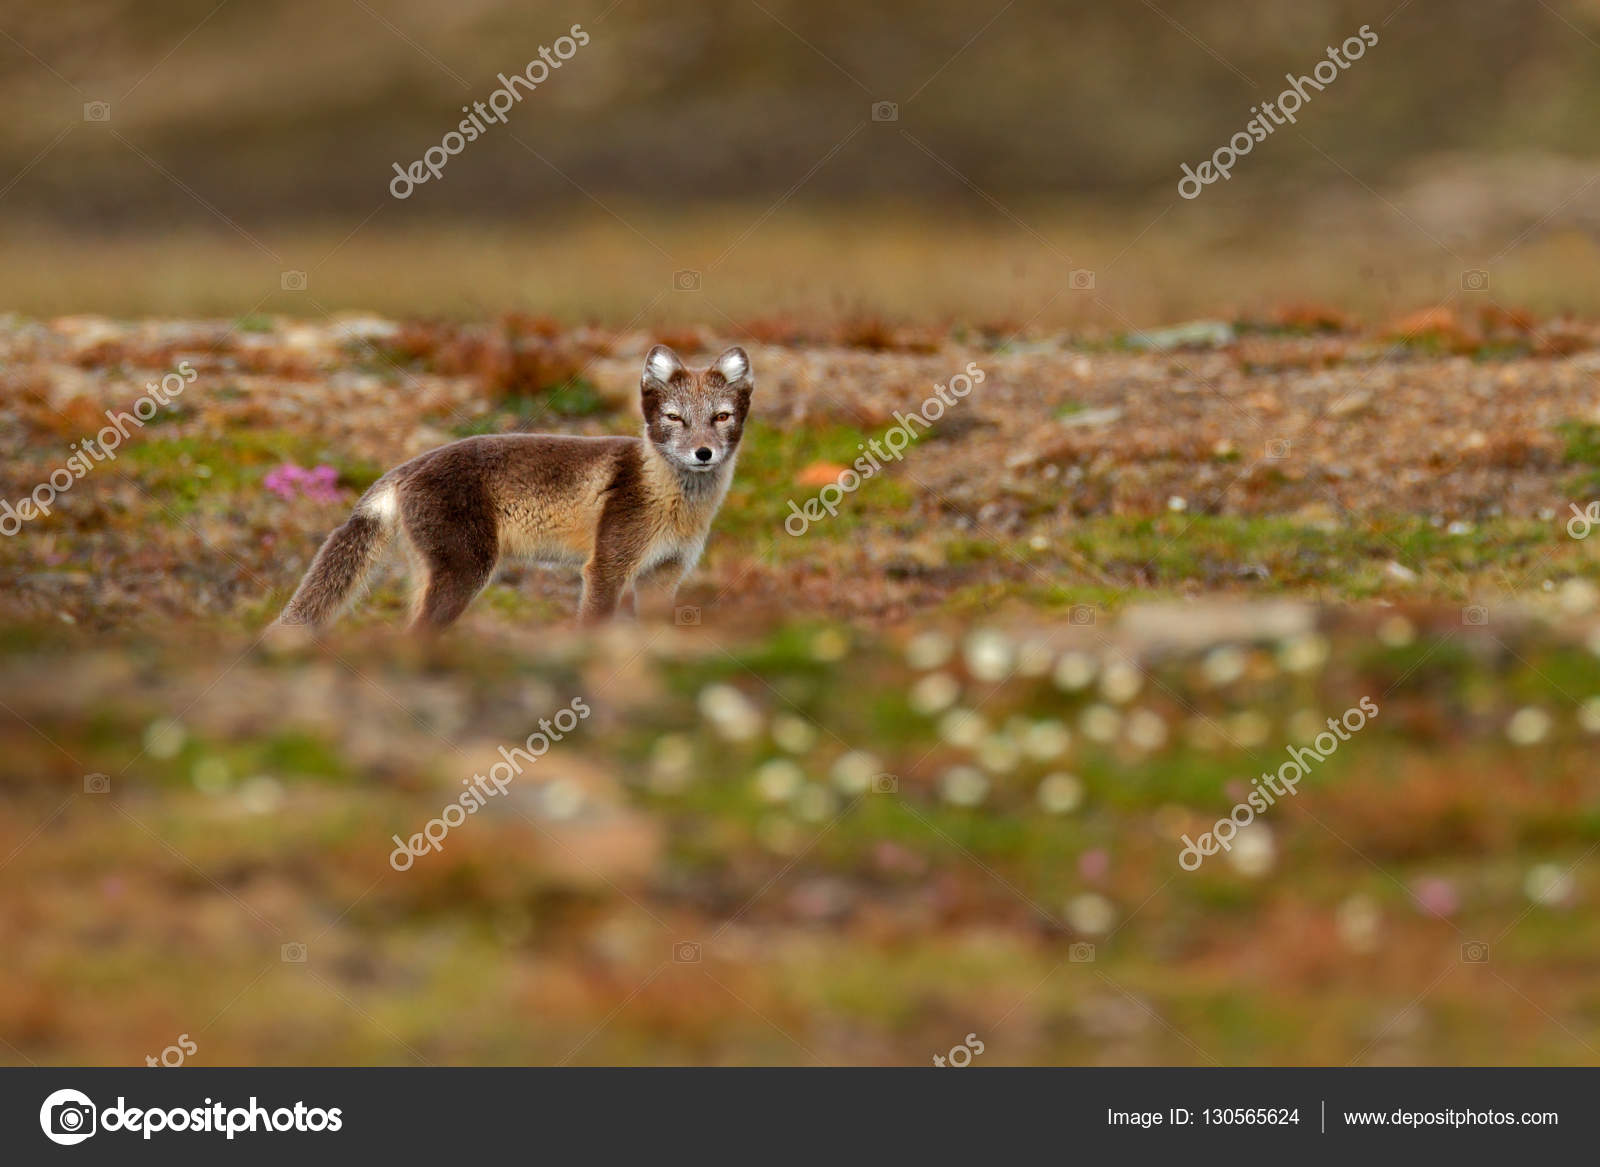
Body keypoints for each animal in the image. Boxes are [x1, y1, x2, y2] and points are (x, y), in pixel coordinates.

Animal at [275, 344, 751, 631]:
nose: (703, 453)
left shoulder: (664, 575)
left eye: (721, 417)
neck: (675, 504)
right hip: (466, 571)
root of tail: (406, 468)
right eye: (674, 418)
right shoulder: (606, 568)